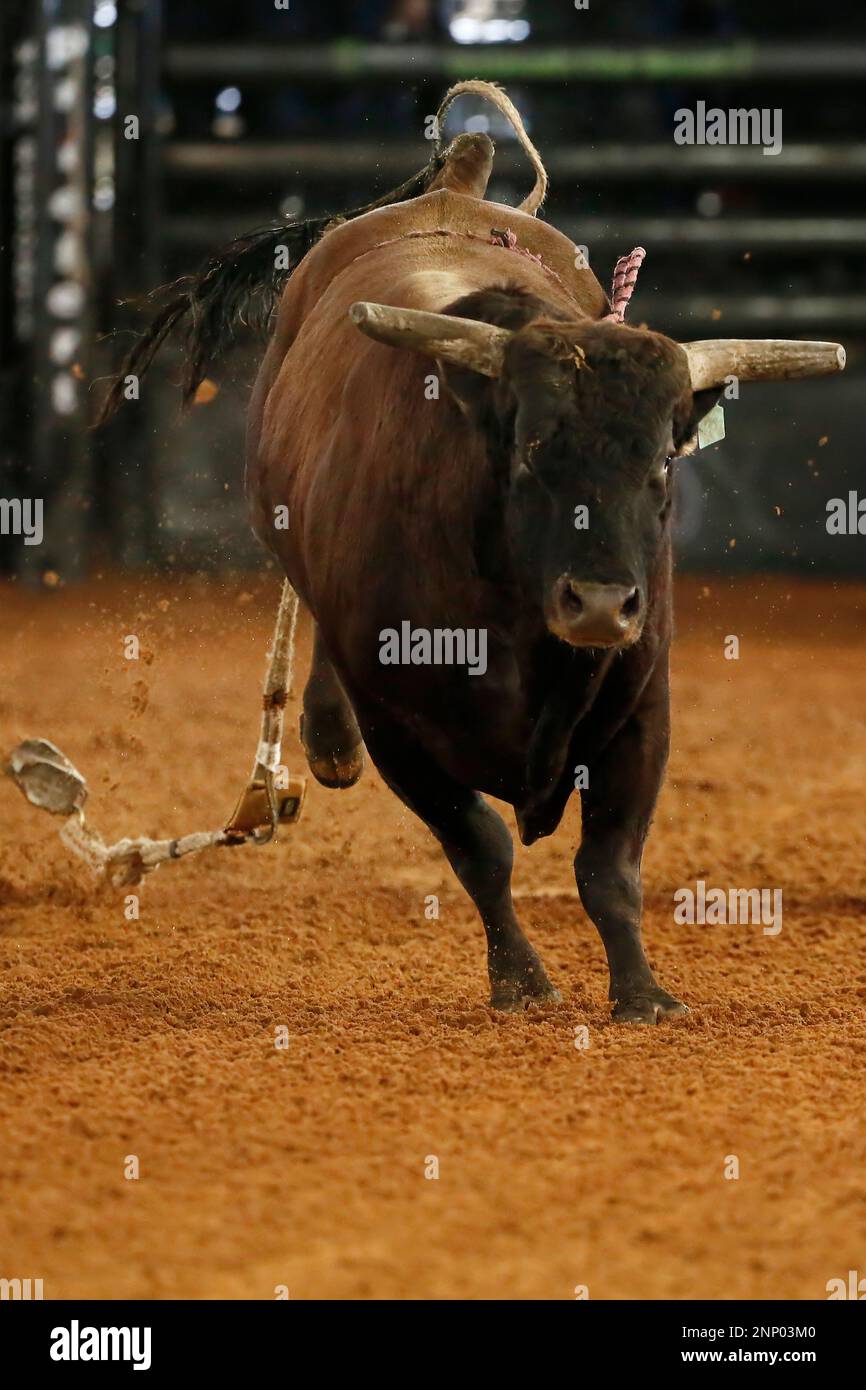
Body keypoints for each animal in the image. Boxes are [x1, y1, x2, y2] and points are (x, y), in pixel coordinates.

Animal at [104, 82, 845, 1021]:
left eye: (663, 463)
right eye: (530, 451)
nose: (600, 605)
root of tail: (455, 187)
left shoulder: (643, 702)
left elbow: (609, 866)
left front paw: (642, 993)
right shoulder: (396, 718)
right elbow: (480, 844)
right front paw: (522, 982)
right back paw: (325, 737)